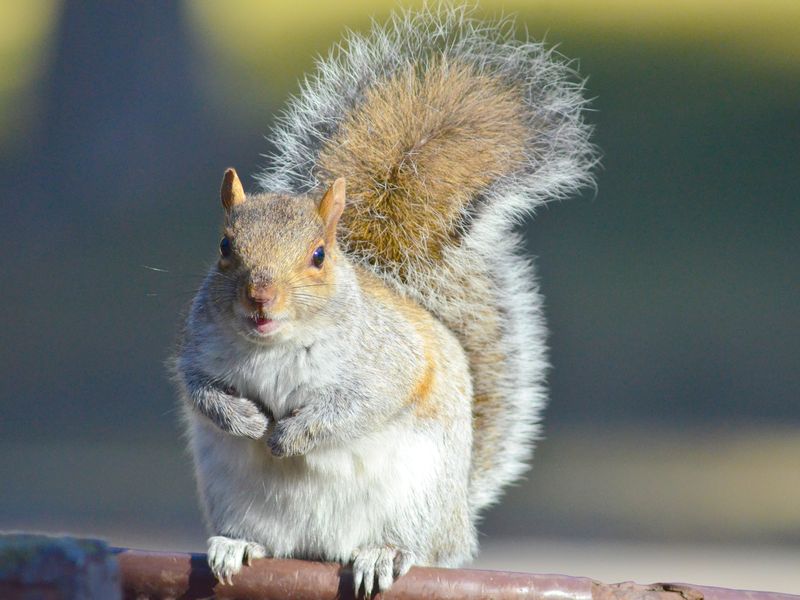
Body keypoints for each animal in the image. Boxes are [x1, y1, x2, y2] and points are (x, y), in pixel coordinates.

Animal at [173, 5, 595, 595]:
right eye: (224, 247)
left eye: (319, 255)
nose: (260, 299)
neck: (273, 345)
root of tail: (458, 521)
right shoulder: (199, 345)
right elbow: (200, 389)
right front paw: (246, 421)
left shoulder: (390, 360)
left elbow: (362, 403)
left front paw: (291, 436)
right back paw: (236, 544)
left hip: (416, 499)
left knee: (409, 543)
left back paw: (383, 554)